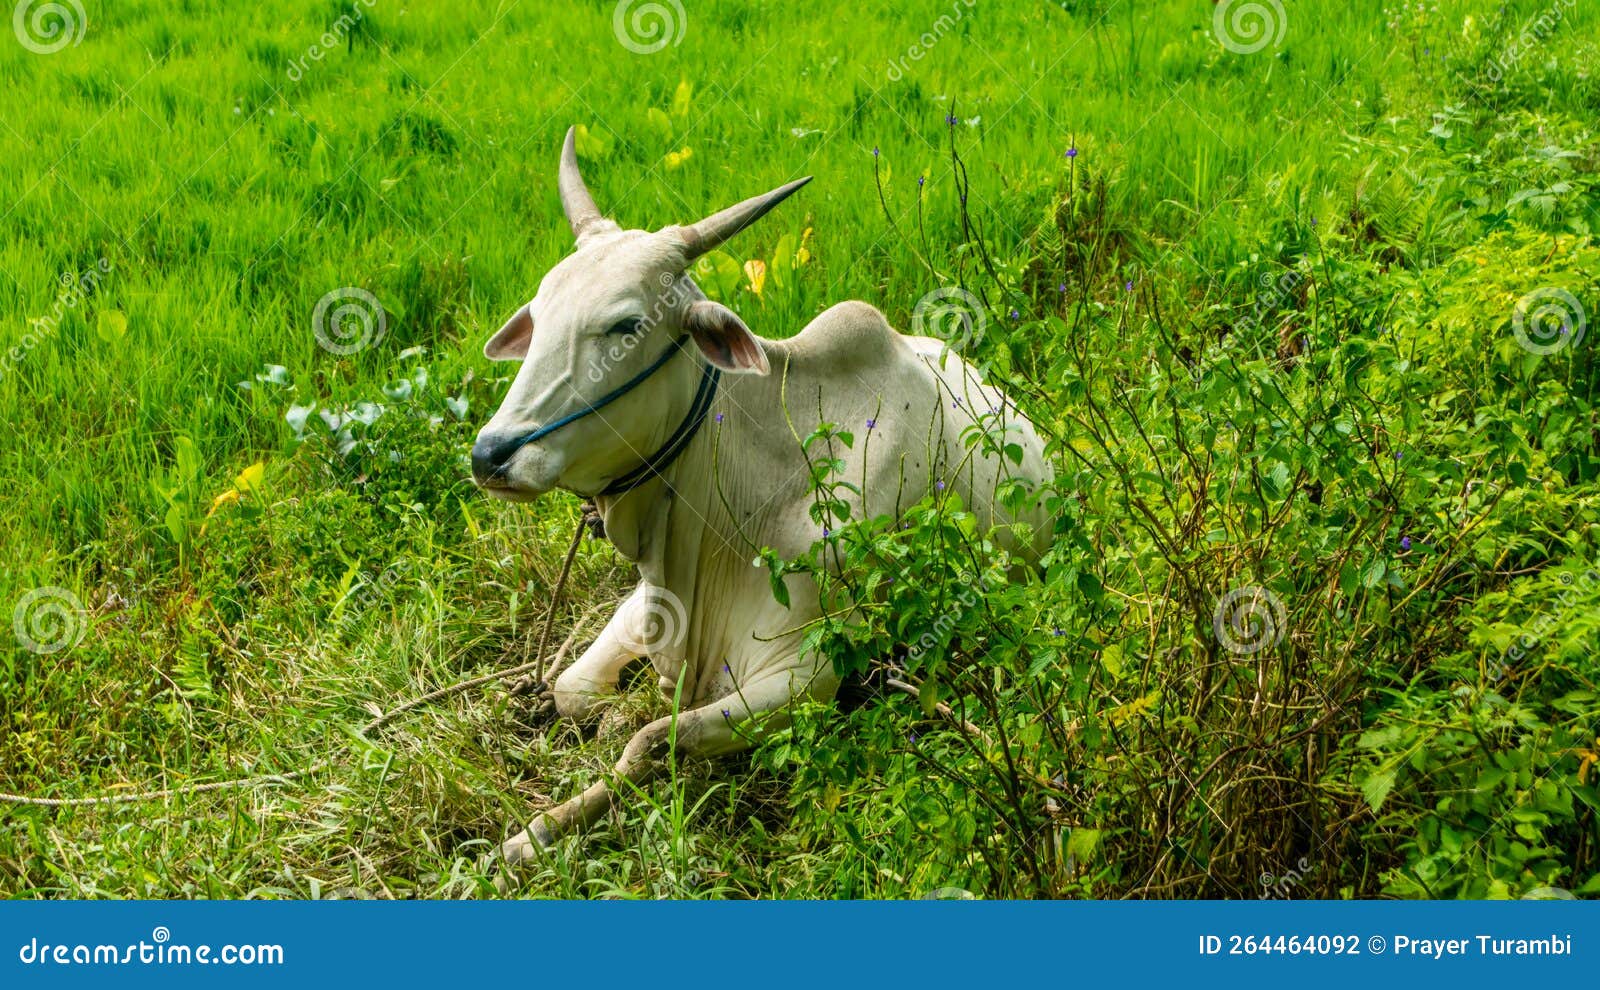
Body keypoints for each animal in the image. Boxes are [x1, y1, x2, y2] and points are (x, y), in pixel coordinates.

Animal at [472, 127, 1053, 865]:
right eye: (540, 315)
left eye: (626, 325)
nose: (491, 454)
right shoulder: (644, 605)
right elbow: (572, 692)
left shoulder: (807, 677)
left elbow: (647, 741)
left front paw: (529, 839)